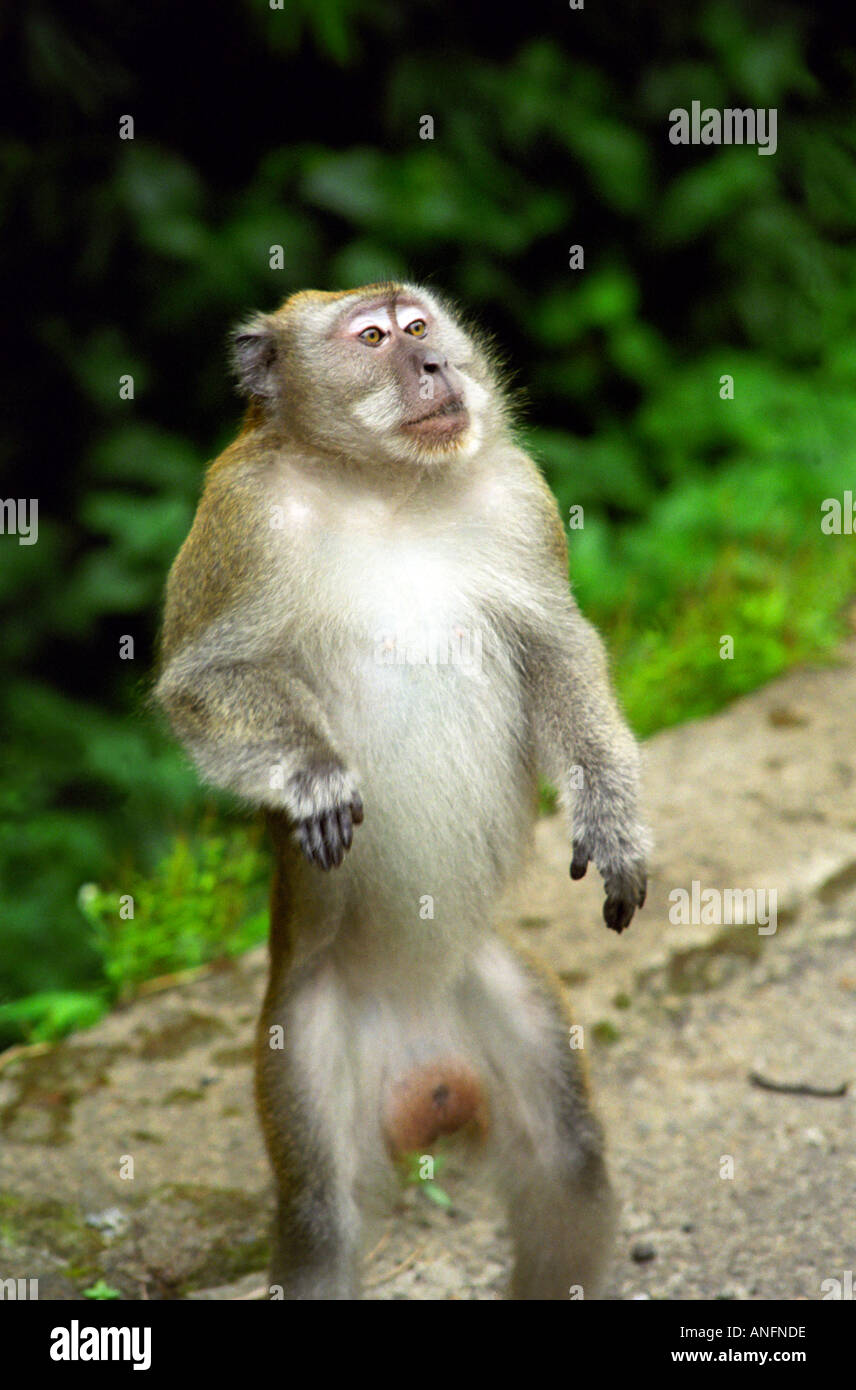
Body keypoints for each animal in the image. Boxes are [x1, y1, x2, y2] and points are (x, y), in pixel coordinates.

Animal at [155, 281, 650, 1300]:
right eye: (373, 337)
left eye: (419, 325)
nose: (433, 363)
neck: (388, 487)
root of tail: (426, 1068)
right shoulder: (239, 517)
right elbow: (202, 682)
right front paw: (312, 777)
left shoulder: (517, 498)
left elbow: (559, 652)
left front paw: (613, 816)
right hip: (302, 1047)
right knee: (321, 1219)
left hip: (498, 995)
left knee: (567, 1165)